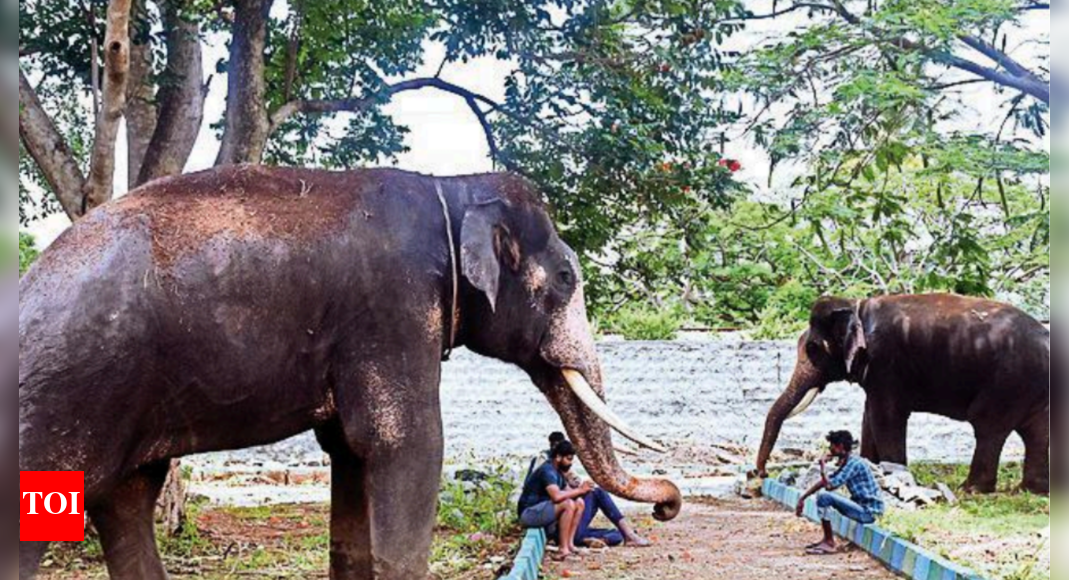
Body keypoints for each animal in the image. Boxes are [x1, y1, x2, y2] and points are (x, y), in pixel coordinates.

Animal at [19, 165, 682, 580]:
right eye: (567, 279)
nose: (668, 507)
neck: (452, 190)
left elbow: (351, 450)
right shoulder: (393, 309)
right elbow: (405, 443)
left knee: (129, 499)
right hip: (61, 396)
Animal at [754, 294, 1051, 495]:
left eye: (813, 348)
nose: (760, 473)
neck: (857, 307)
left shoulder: (886, 363)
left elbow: (886, 416)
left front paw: (892, 473)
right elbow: (869, 415)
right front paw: (869, 466)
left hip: (1008, 382)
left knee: (989, 428)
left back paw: (971, 489)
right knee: (1037, 433)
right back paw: (1032, 490)